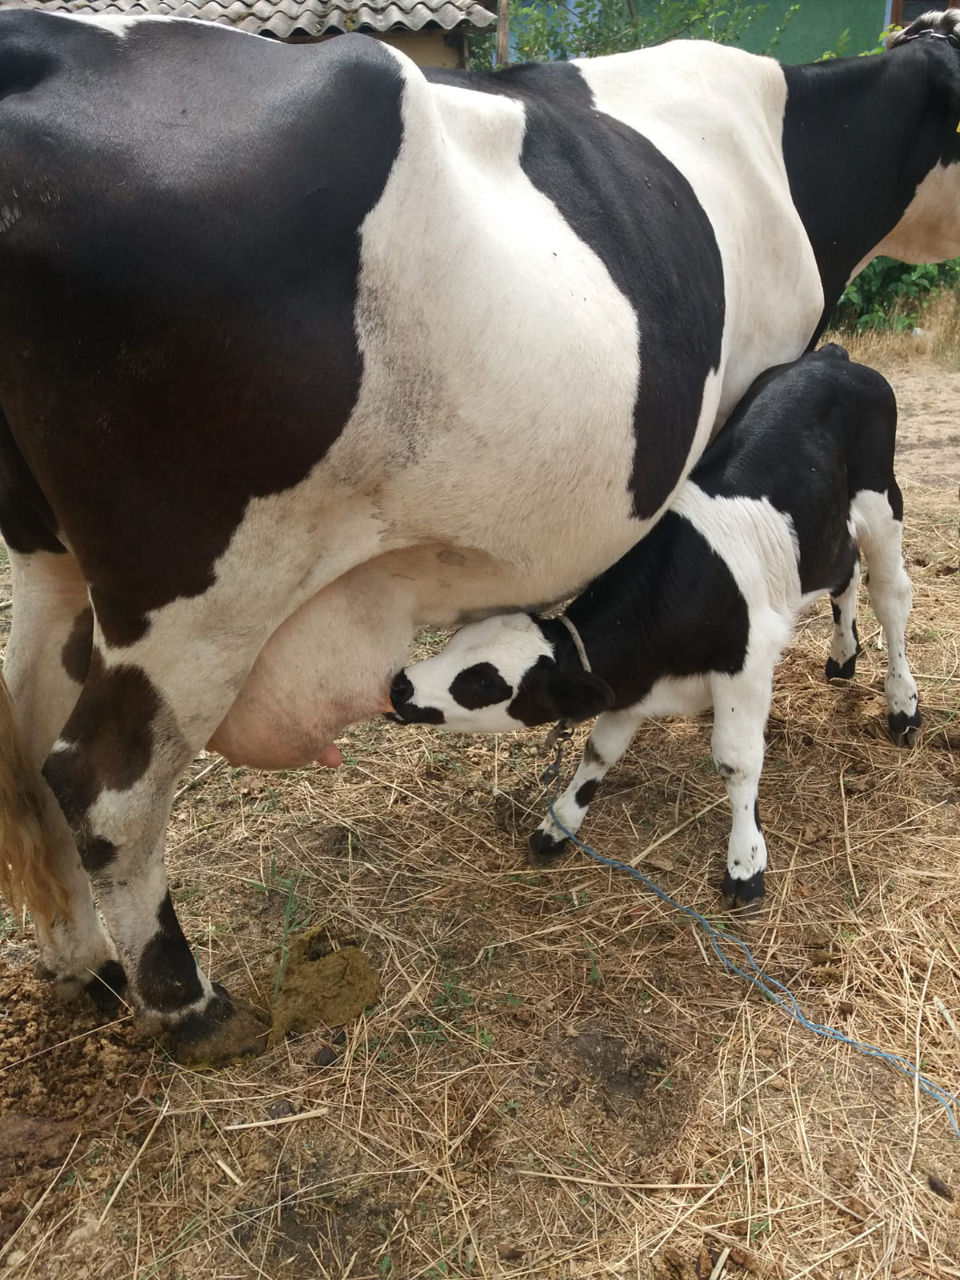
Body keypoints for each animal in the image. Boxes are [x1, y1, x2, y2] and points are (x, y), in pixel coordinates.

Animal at [389, 345, 921, 906]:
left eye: (483, 683)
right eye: (453, 643)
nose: (399, 686)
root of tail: (833, 357)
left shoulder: (745, 666)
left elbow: (737, 761)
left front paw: (745, 863)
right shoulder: (626, 687)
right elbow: (599, 751)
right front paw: (561, 822)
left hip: (883, 501)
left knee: (891, 596)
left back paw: (903, 703)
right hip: (824, 529)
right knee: (846, 571)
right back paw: (842, 656)